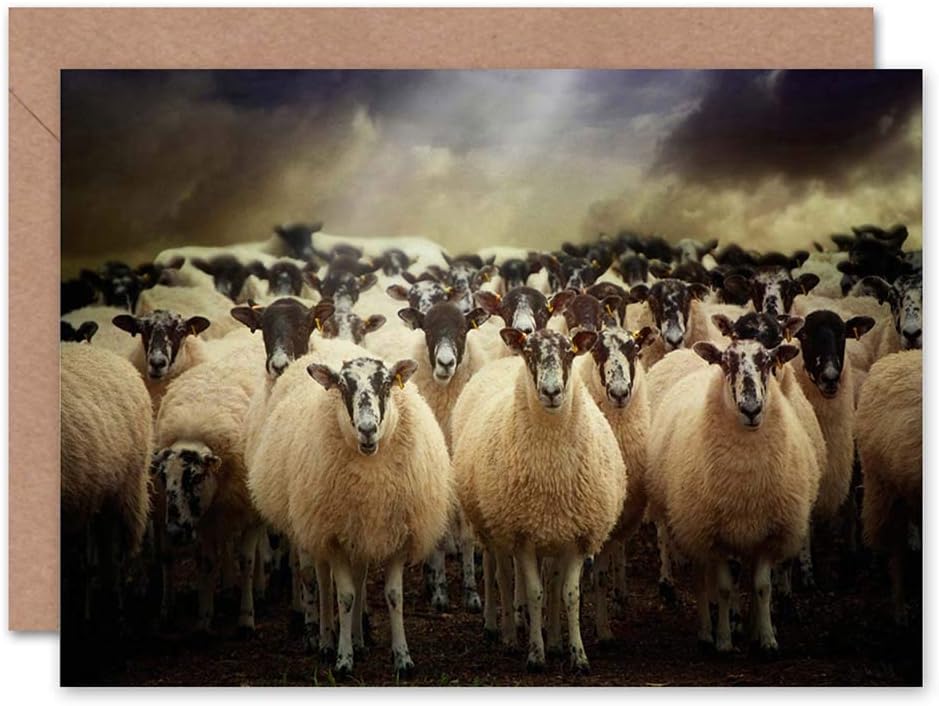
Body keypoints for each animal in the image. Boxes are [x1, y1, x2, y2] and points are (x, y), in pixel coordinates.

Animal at [151, 343, 266, 636]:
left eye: (195, 477)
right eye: (163, 478)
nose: (174, 532)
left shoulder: (247, 510)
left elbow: (247, 560)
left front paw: (246, 618)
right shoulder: (207, 518)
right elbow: (206, 562)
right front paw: (204, 618)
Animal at [250, 354, 453, 676]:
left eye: (386, 384)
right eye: (343, 386)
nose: (367, 429)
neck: (372, 474)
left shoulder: (397, 535)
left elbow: (393, 596)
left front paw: (402, 657)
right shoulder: (333, 537)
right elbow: (344, 596)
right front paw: (343, 659)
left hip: (360, 532)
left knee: (359, 578)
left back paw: (359, 639)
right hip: (312, 527)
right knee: (320, 580)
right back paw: (324, 641)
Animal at [452, 328, 626, 673]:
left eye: (569, 353)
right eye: (530, 352)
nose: (551, 392)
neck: (552, 471)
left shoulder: (577, 536)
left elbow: (569, 594)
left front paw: (576, 654)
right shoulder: (522, 536)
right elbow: (534, 592)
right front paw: (535, 654)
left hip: (551, 535)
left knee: (549, 581)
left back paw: (553, 639)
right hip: (493, 525)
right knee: (501, 575)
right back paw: (503, 631)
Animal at [647, 338, 819, 654]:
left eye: (767, 362)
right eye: (726, 363)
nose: (751, 409)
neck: (745, 480)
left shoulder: (768, 532)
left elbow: (761, 587)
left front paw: (766, 638)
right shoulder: (715, 537)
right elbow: (725, 589)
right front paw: (725, 640)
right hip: (692, 526)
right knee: (701, 580)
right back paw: (706, 633)